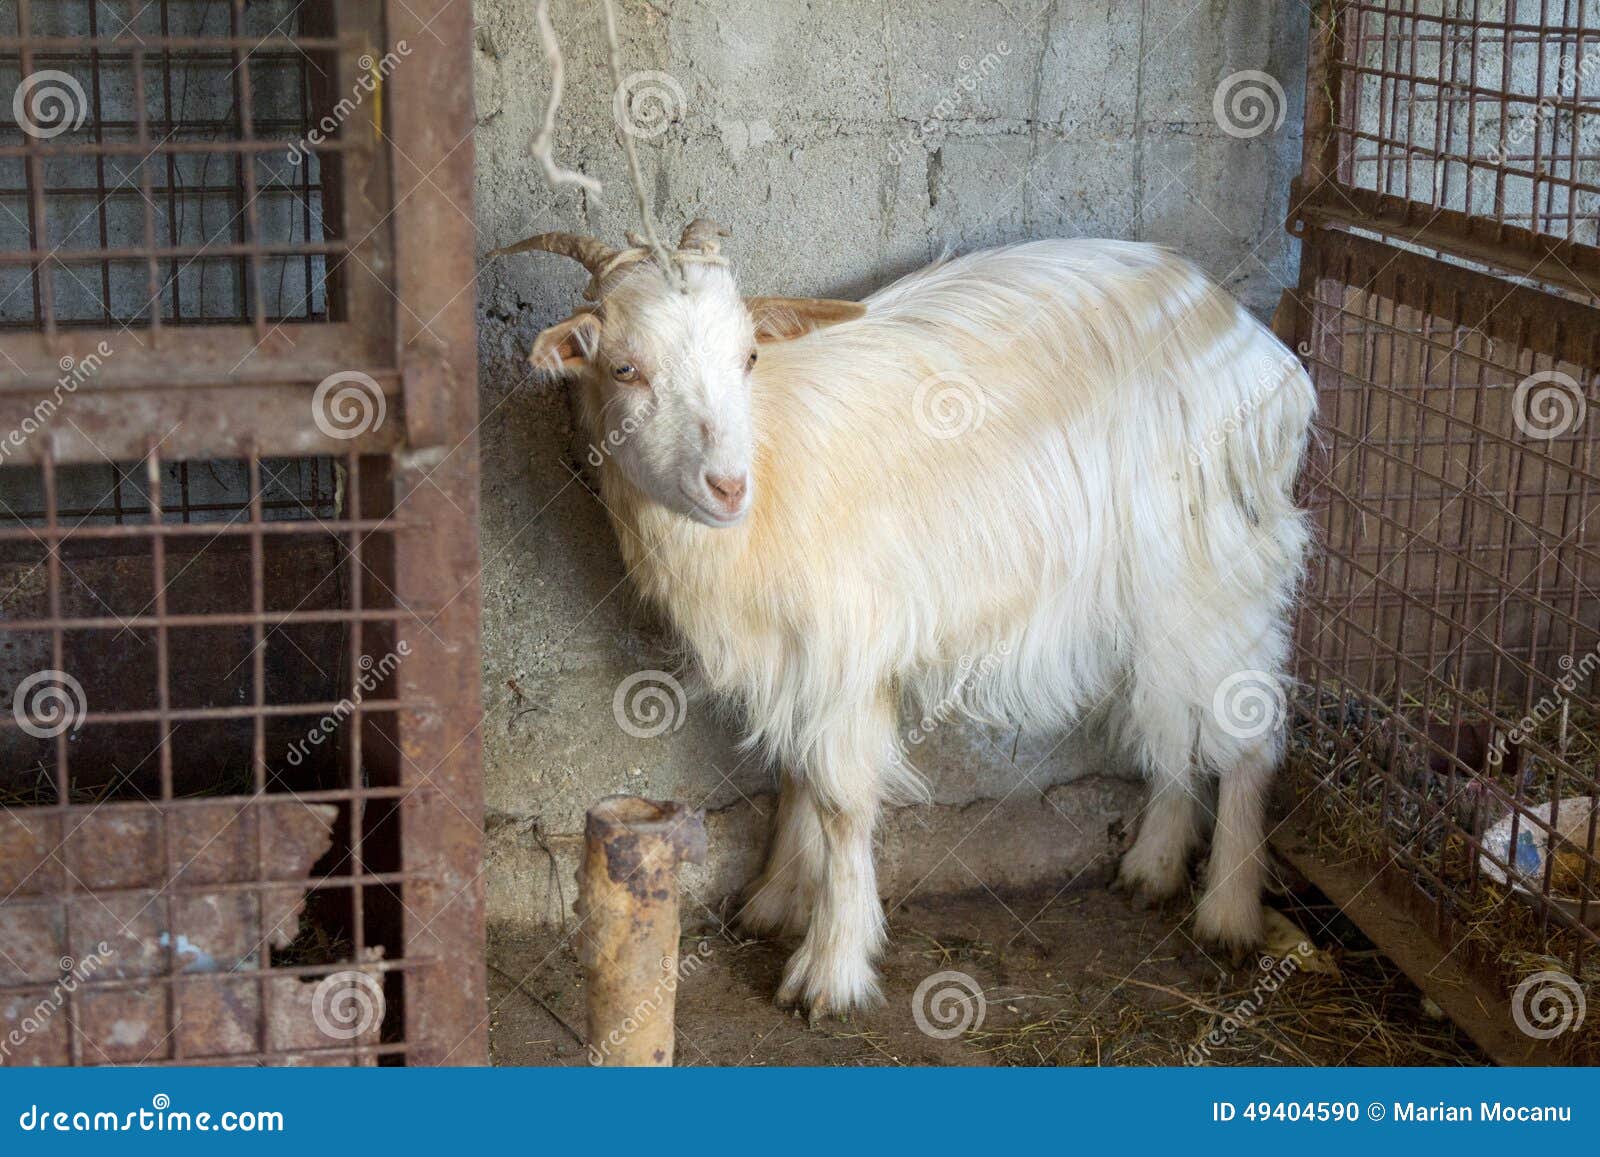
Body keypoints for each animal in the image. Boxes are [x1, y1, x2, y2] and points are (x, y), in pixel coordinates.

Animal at [509, 219, 1316, 1017]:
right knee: (1171, 711)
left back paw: (1229, 912)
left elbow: (840, 802)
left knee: (1243, 721)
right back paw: (1154, 866)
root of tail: (1256, 342)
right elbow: (796, 770)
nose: (727, 486)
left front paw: (831, 968)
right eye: (624, 369)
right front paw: (779, 899)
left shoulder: (845, 639)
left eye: (747, 357)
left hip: (1214, 564)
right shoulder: (799, 651)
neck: (770, 457)